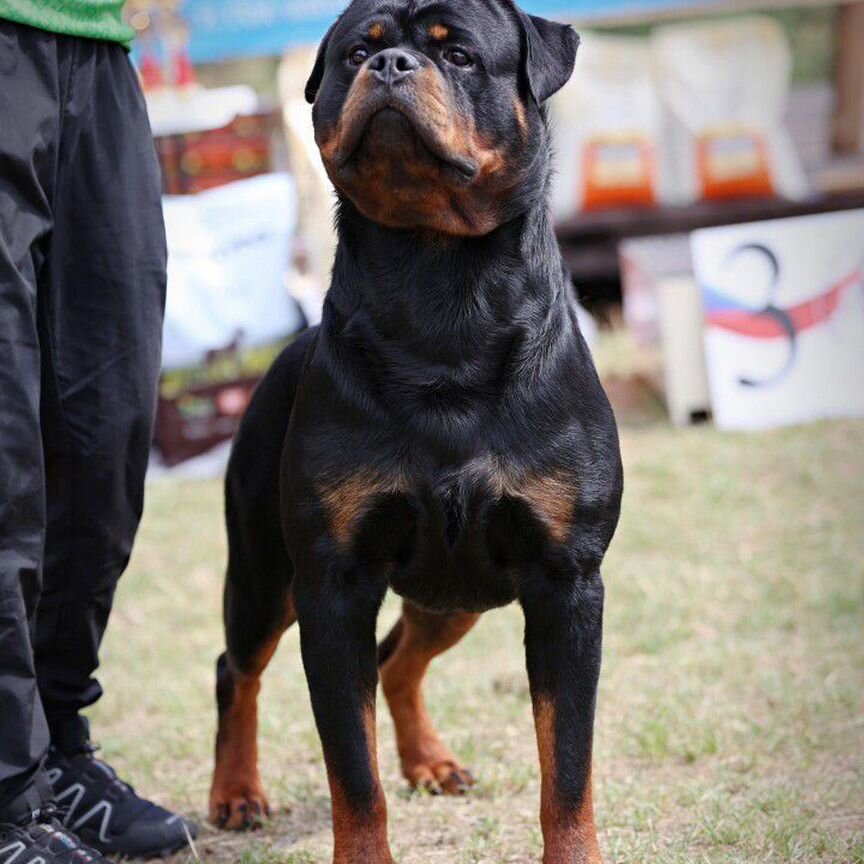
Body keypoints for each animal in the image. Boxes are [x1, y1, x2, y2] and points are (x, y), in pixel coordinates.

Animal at [213, 1, 624, 864]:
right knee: (238, 666)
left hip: (455, 589)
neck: (441, 291)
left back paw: (429, 761)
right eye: (354, 54)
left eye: (460, 54)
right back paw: (234, 793)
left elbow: (567, 763)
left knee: (399, 658)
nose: (393, 64)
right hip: (265, 572)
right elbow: (353, 774)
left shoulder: (567, 581)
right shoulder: (333, 583)